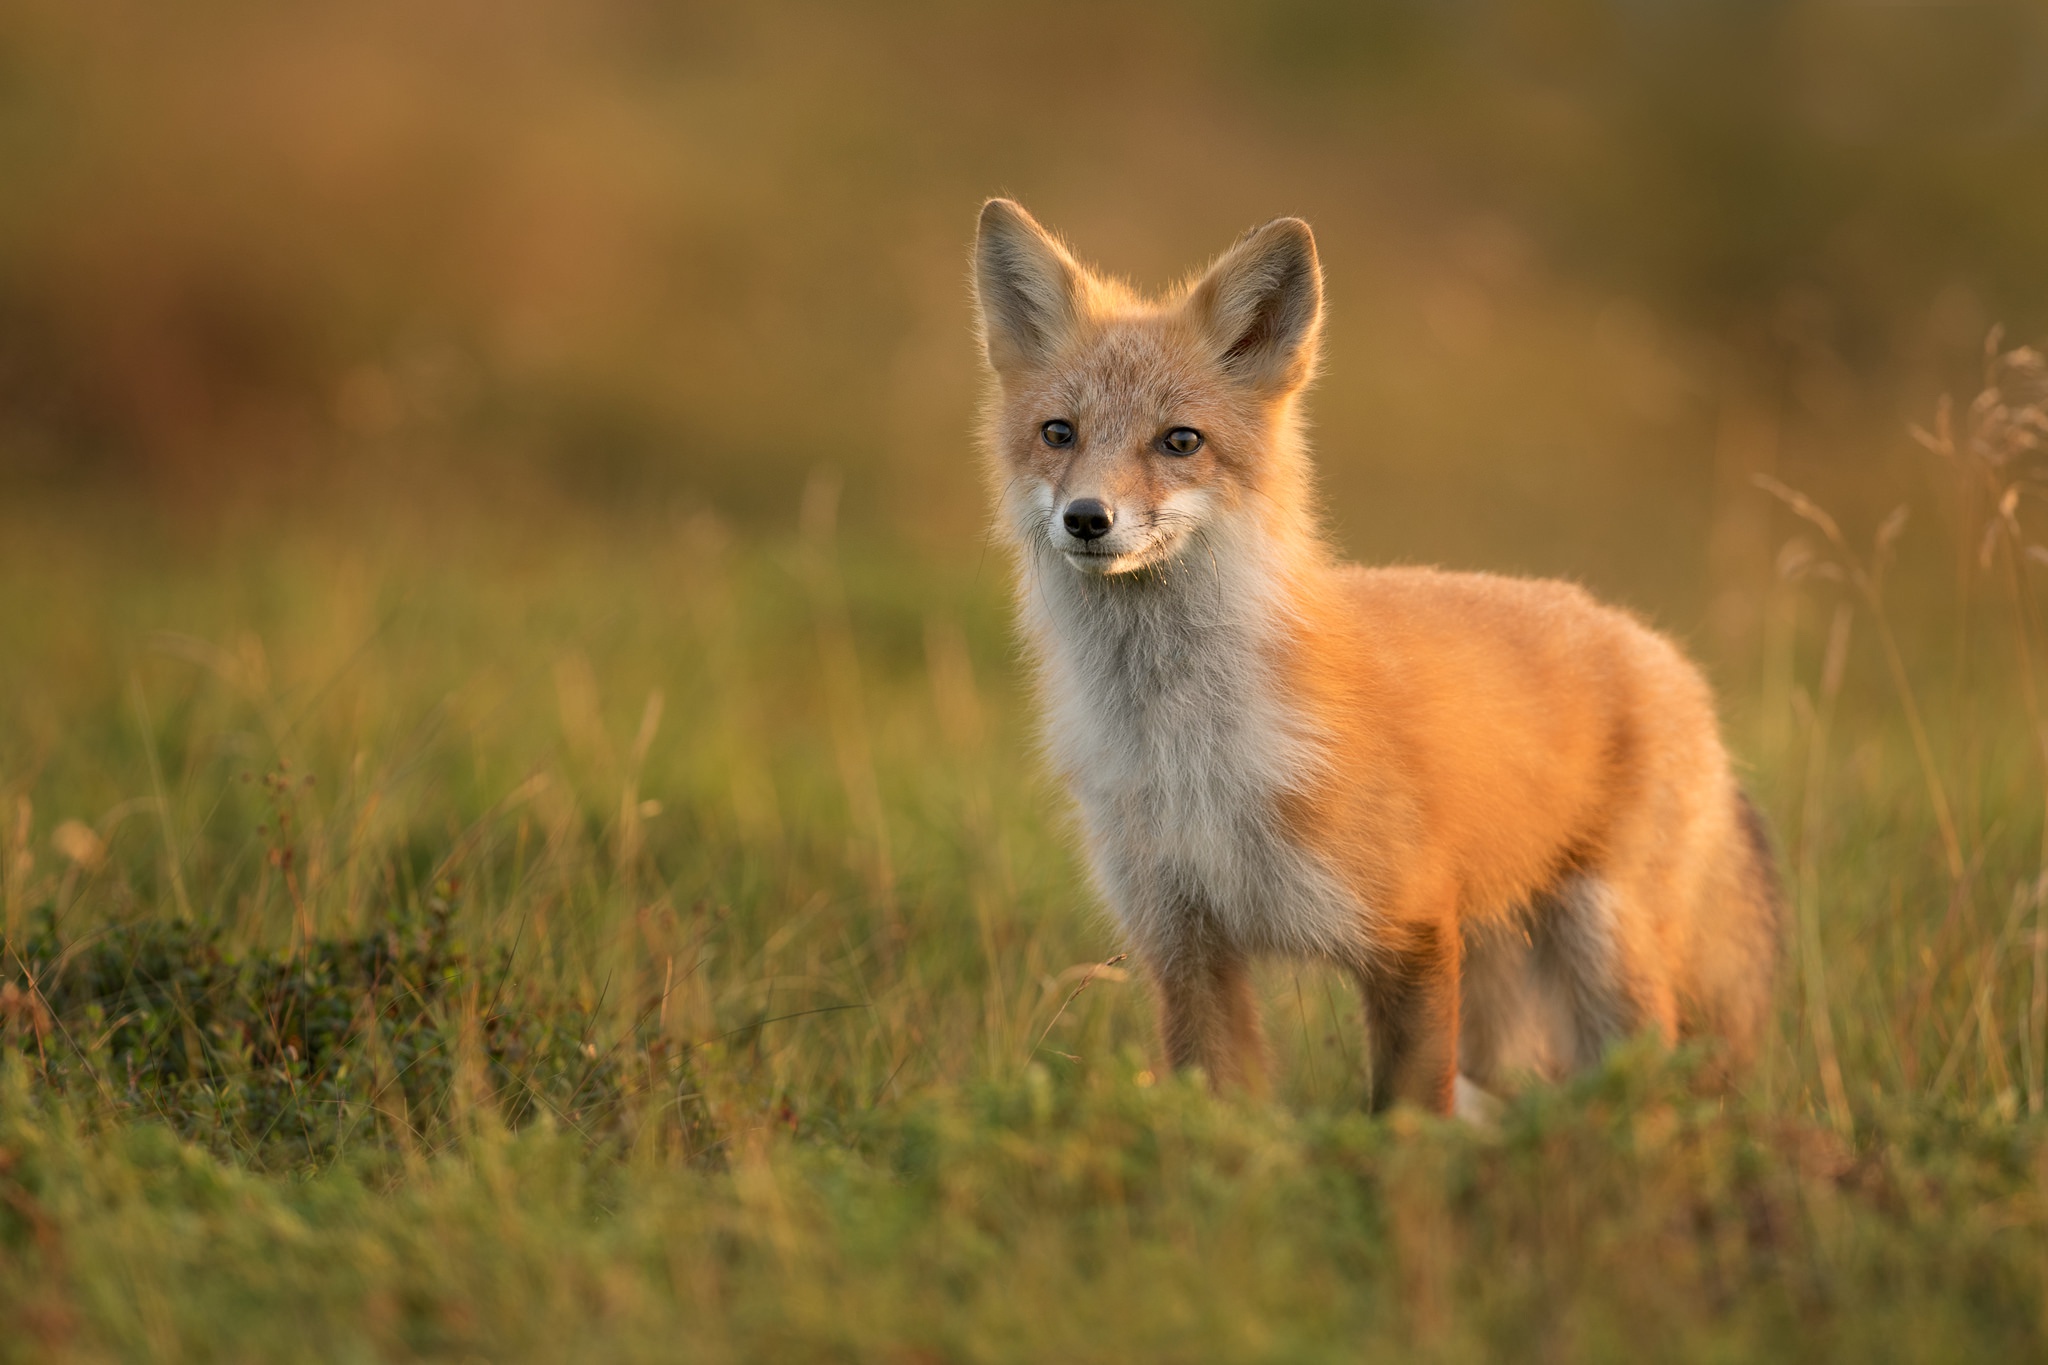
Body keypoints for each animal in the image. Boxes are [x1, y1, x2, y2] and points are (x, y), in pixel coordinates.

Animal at [970, 199, 1782, 1117]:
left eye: (1179, 441)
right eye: (1058, 433)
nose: (1086, 517)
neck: (1190, 751)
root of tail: (1669, 655)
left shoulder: (1411, 932)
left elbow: (1404, 1116)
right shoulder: (1185, 945)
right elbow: (1223, 1111)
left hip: (1607, 951)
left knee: (1641, 1088)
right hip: (1504, 981)